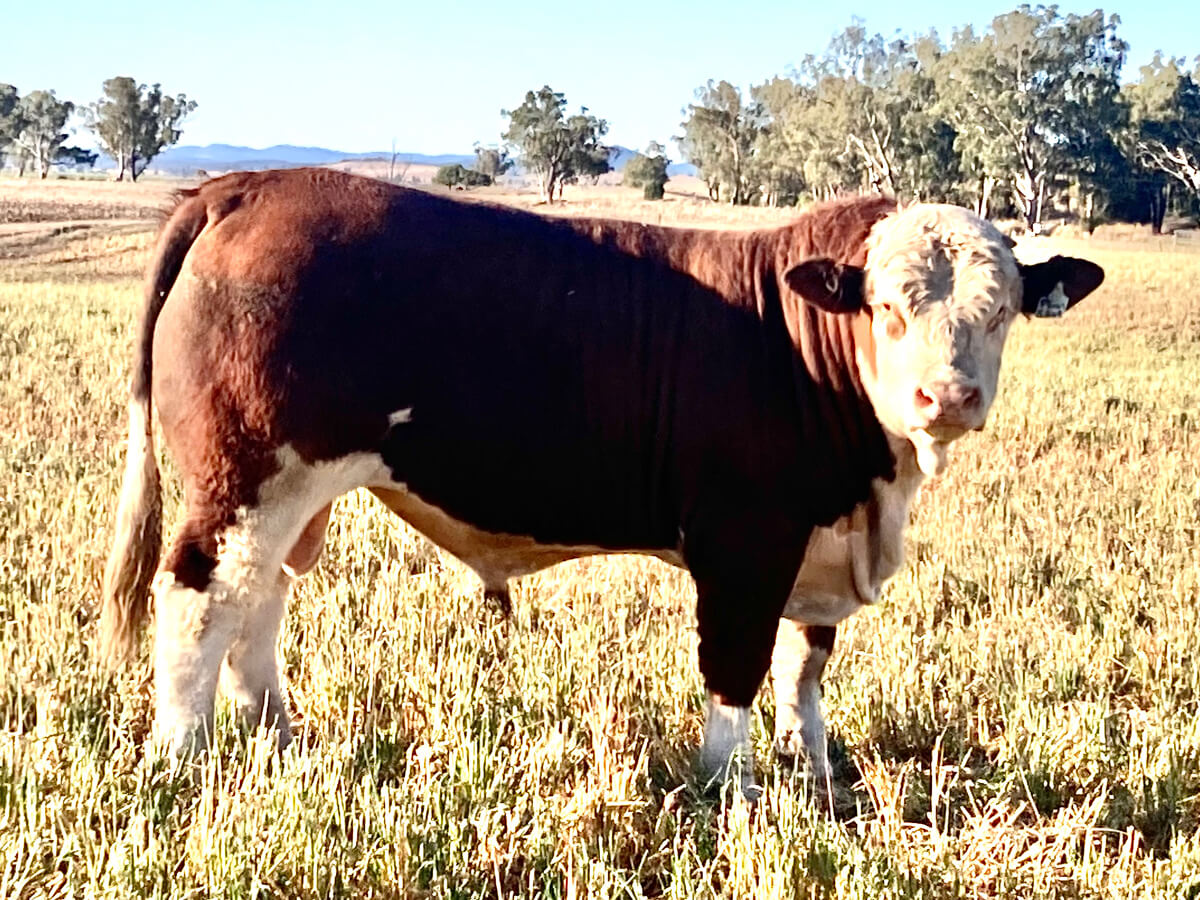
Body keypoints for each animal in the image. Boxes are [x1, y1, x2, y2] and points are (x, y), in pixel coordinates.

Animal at [100, 168, 1103, 794]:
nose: (948, 395)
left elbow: (804, 669)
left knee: (258, 600)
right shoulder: (746, 542)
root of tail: (243, 187)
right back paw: (179, 755)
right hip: (244, 477)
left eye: (1003, 311)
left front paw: (815, 777)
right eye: (888, 309)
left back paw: (278, 733)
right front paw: (728, 789)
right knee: (199, 597)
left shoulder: (818, 546)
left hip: (289, 492)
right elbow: (737, 668)